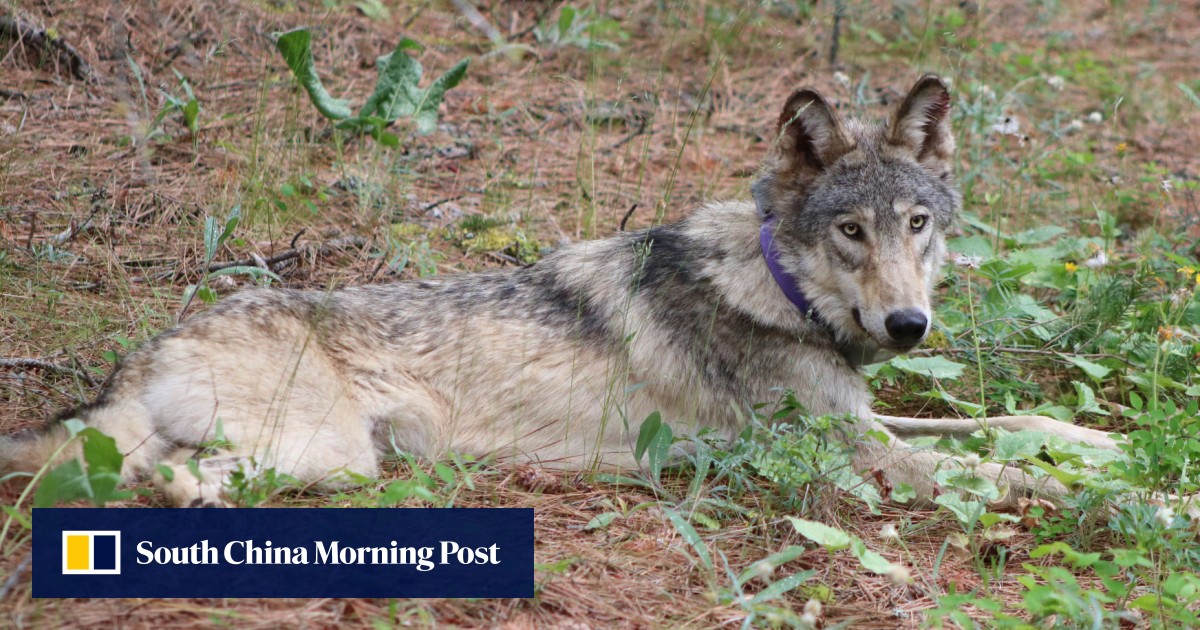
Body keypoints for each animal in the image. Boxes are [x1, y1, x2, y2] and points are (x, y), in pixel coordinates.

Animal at [1, 74, 1119, 508]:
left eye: (916, 224)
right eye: (852, 232)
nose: (907, 323)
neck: (773, 289)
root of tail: (141, 355)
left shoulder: (868, 425)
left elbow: (1012, 424)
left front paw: (1105, 445)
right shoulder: (852, 458)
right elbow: (1007, 474)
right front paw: (1144, 496)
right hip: (328, 453)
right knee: (163, 481)